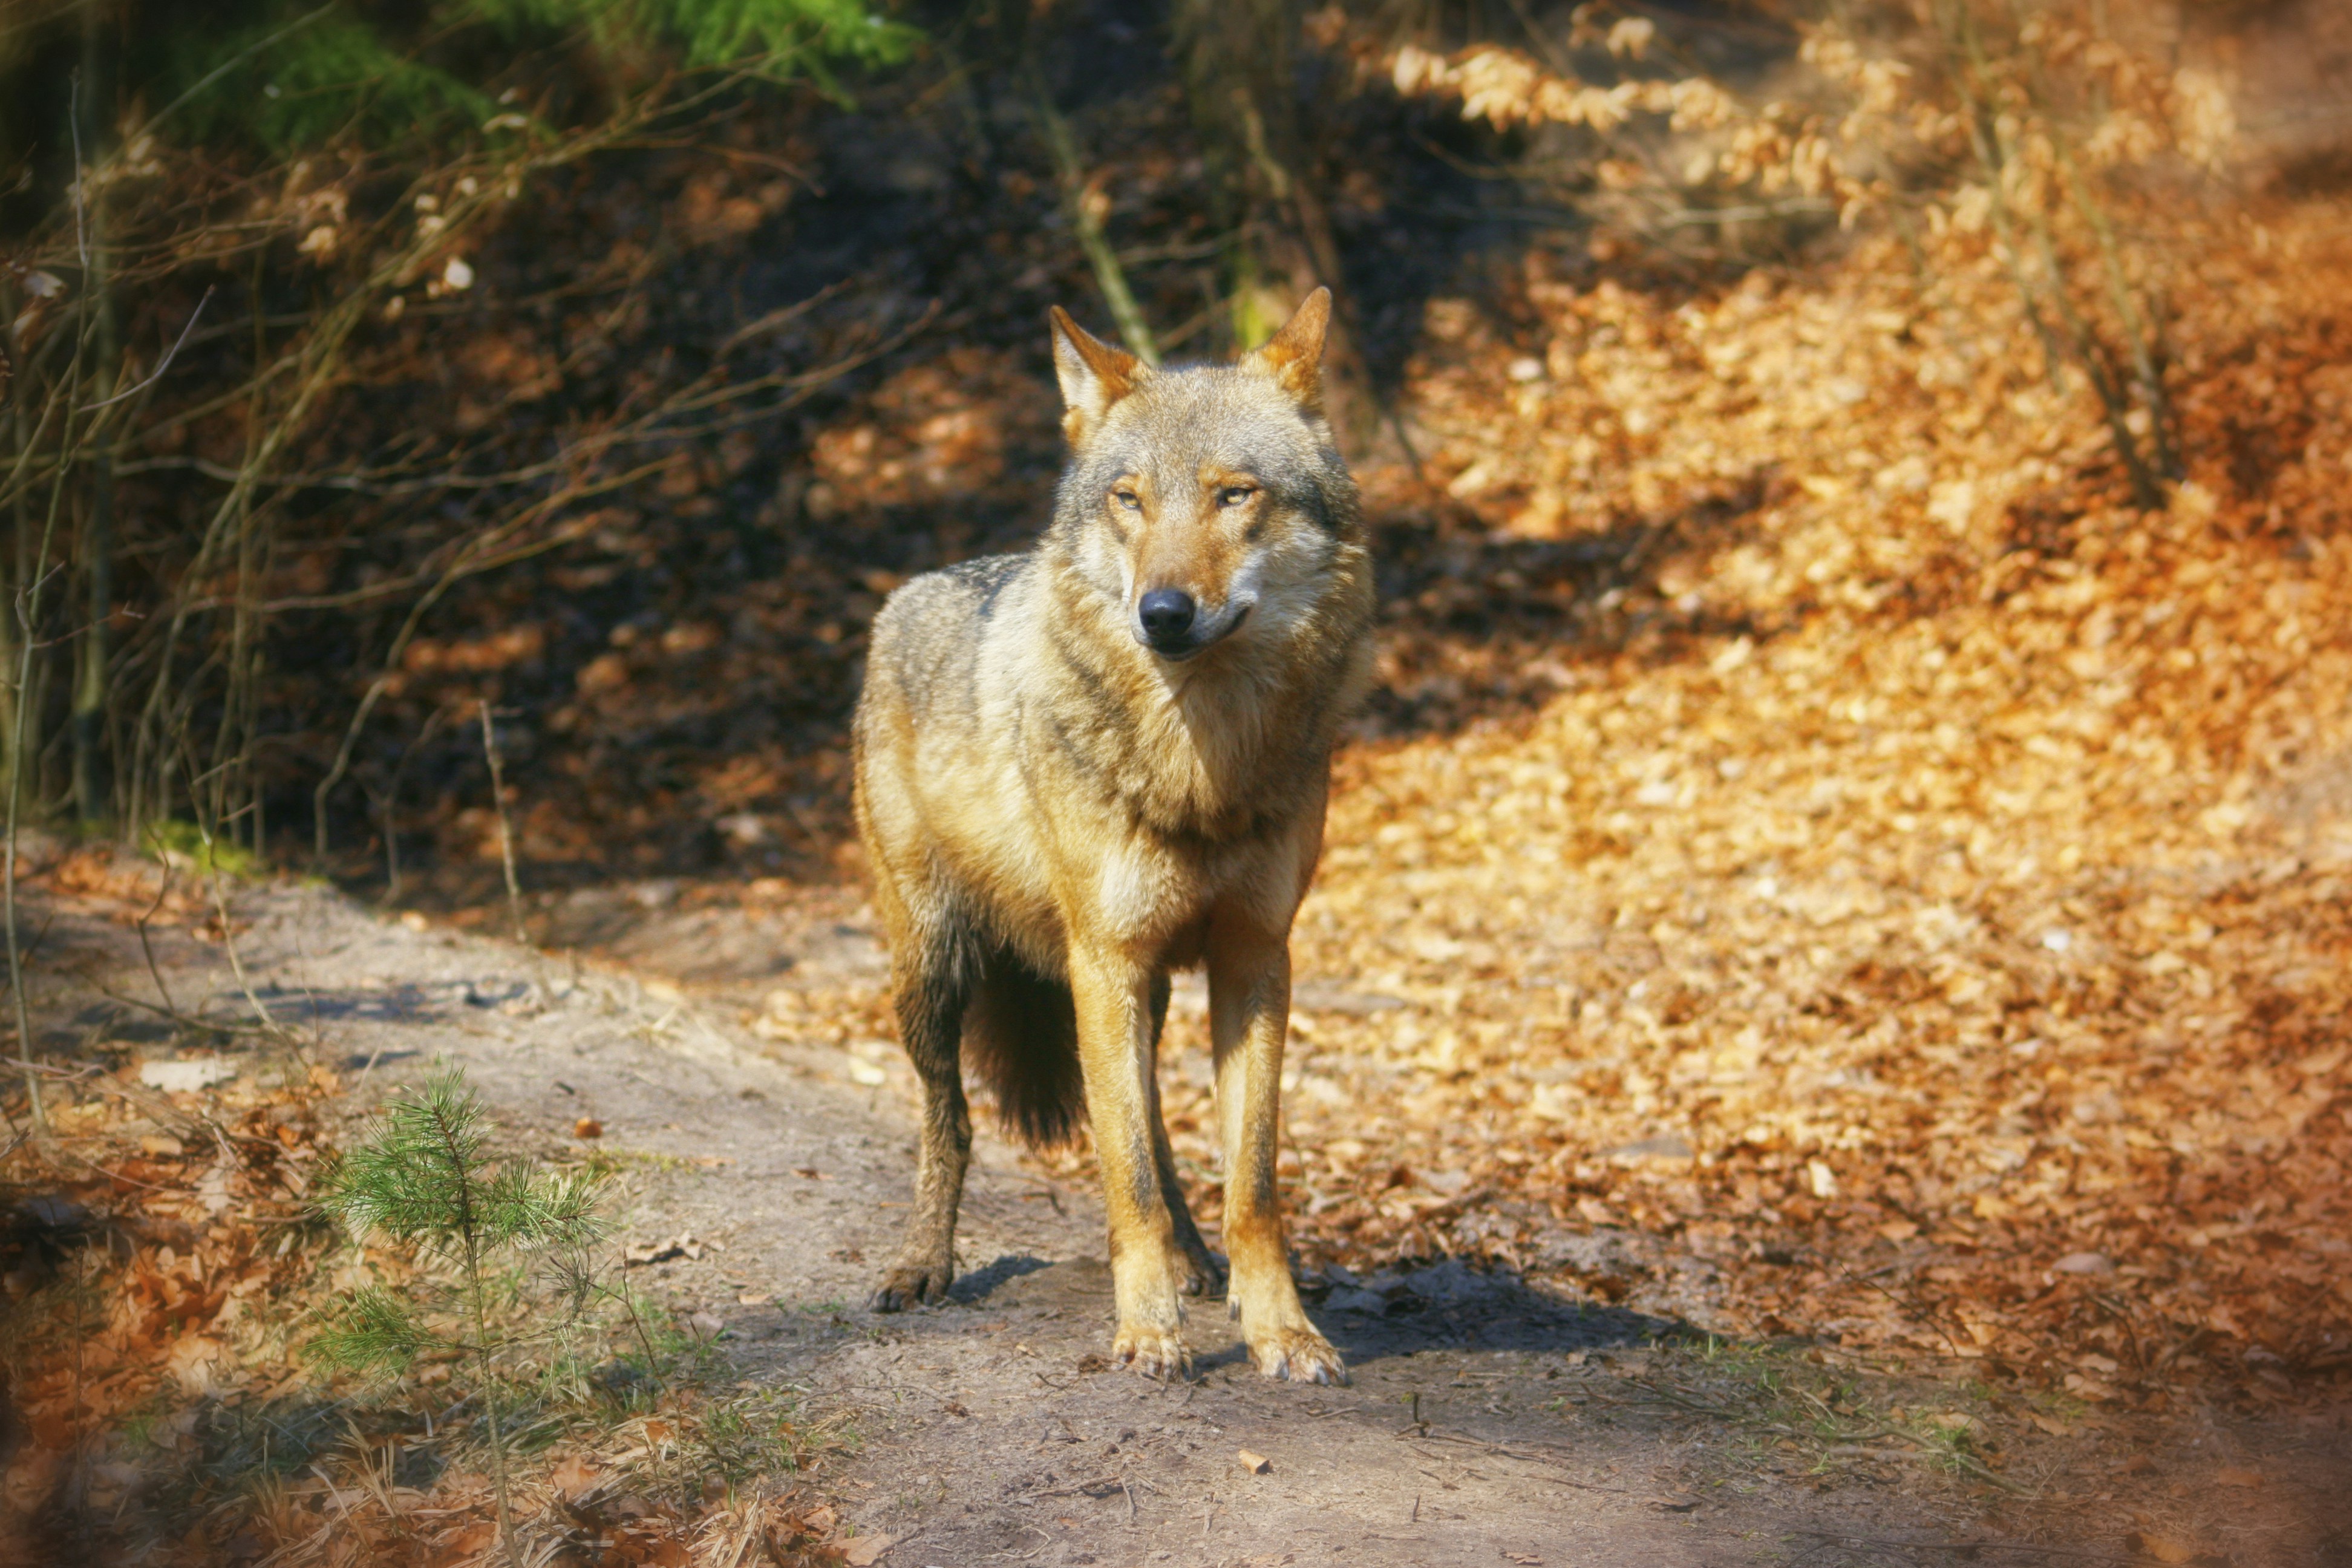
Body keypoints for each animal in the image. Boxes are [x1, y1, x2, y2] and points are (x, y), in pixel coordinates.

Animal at [850, 289, 1374, 1385]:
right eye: (1129, 499)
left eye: (1233, 495)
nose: (1162, 612)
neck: (1202, 762)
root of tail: (906, 595)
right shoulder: (1105, 960)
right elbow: (1121, 1171)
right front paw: (1146, 1335)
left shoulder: (1255, 959)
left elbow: (1251, 1181)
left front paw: (1280, 1330)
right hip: (936, 971)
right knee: (951, 1125)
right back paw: (923, 1266)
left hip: (1148, 986)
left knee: (1154, 1129)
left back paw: (1193, 1262)